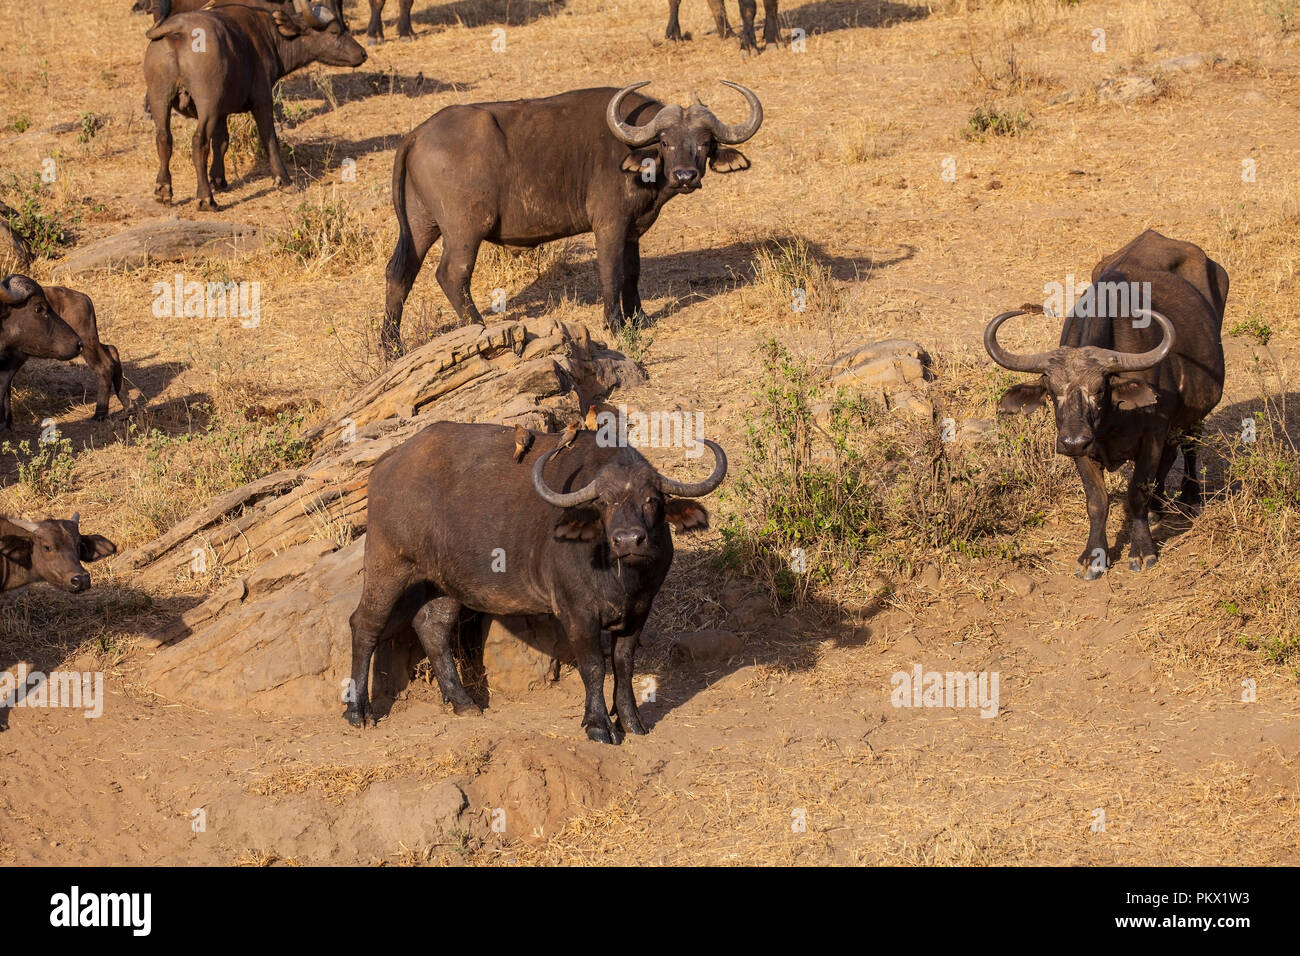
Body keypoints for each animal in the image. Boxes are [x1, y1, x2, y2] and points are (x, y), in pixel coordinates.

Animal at [143, 0, 366, 210]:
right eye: (334, 31)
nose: (362, 53)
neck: (269, 35)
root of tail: (178, 28)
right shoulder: (262, 100)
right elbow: (269, 139)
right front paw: (284, 180)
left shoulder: (222, 112)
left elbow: (221, 141)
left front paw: (218, 179)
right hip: (207, 104)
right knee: (199, 142)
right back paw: (206, 199)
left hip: (159, 98)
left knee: (163, 137)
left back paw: (163, 190)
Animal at [345, 421, 728, 743]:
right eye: (604, 501)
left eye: (652, 500)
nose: (628, 539)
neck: (623, 577)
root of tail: (389, 462)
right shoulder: (577, 613)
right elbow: (594, 666)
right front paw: (599, 725)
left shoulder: (639, 612)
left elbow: (623, 664)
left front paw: (632, 721)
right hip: (388, 564)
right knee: (365, 624)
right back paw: (358, 711)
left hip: (443, 582)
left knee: (432, 627)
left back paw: (464, 702)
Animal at [379, 79, 759, 356]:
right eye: (665, 142)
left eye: (705, 142)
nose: (685, 176)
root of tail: (416, 134)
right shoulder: (609, 225)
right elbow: (612, 272)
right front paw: (615, 324)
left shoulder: (632, 230)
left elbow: (633, 273)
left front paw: (639, 318)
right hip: (465, 230)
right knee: (451, 275)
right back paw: (480, 328)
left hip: (419, 226)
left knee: (400, 273)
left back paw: (391, 346)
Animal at [982, 227, 1227, 580]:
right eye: (1052, 392)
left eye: (1099, 390)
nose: (1072, 440)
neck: (1111, 422)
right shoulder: (1085, 449)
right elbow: (1097, 501)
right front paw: (1094, 556)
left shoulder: (1153, 434)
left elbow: (1138, 491)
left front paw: (1143, 550)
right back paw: (1159, 507)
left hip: (1196, 412)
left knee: (1191, 444)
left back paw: (1189, 496)